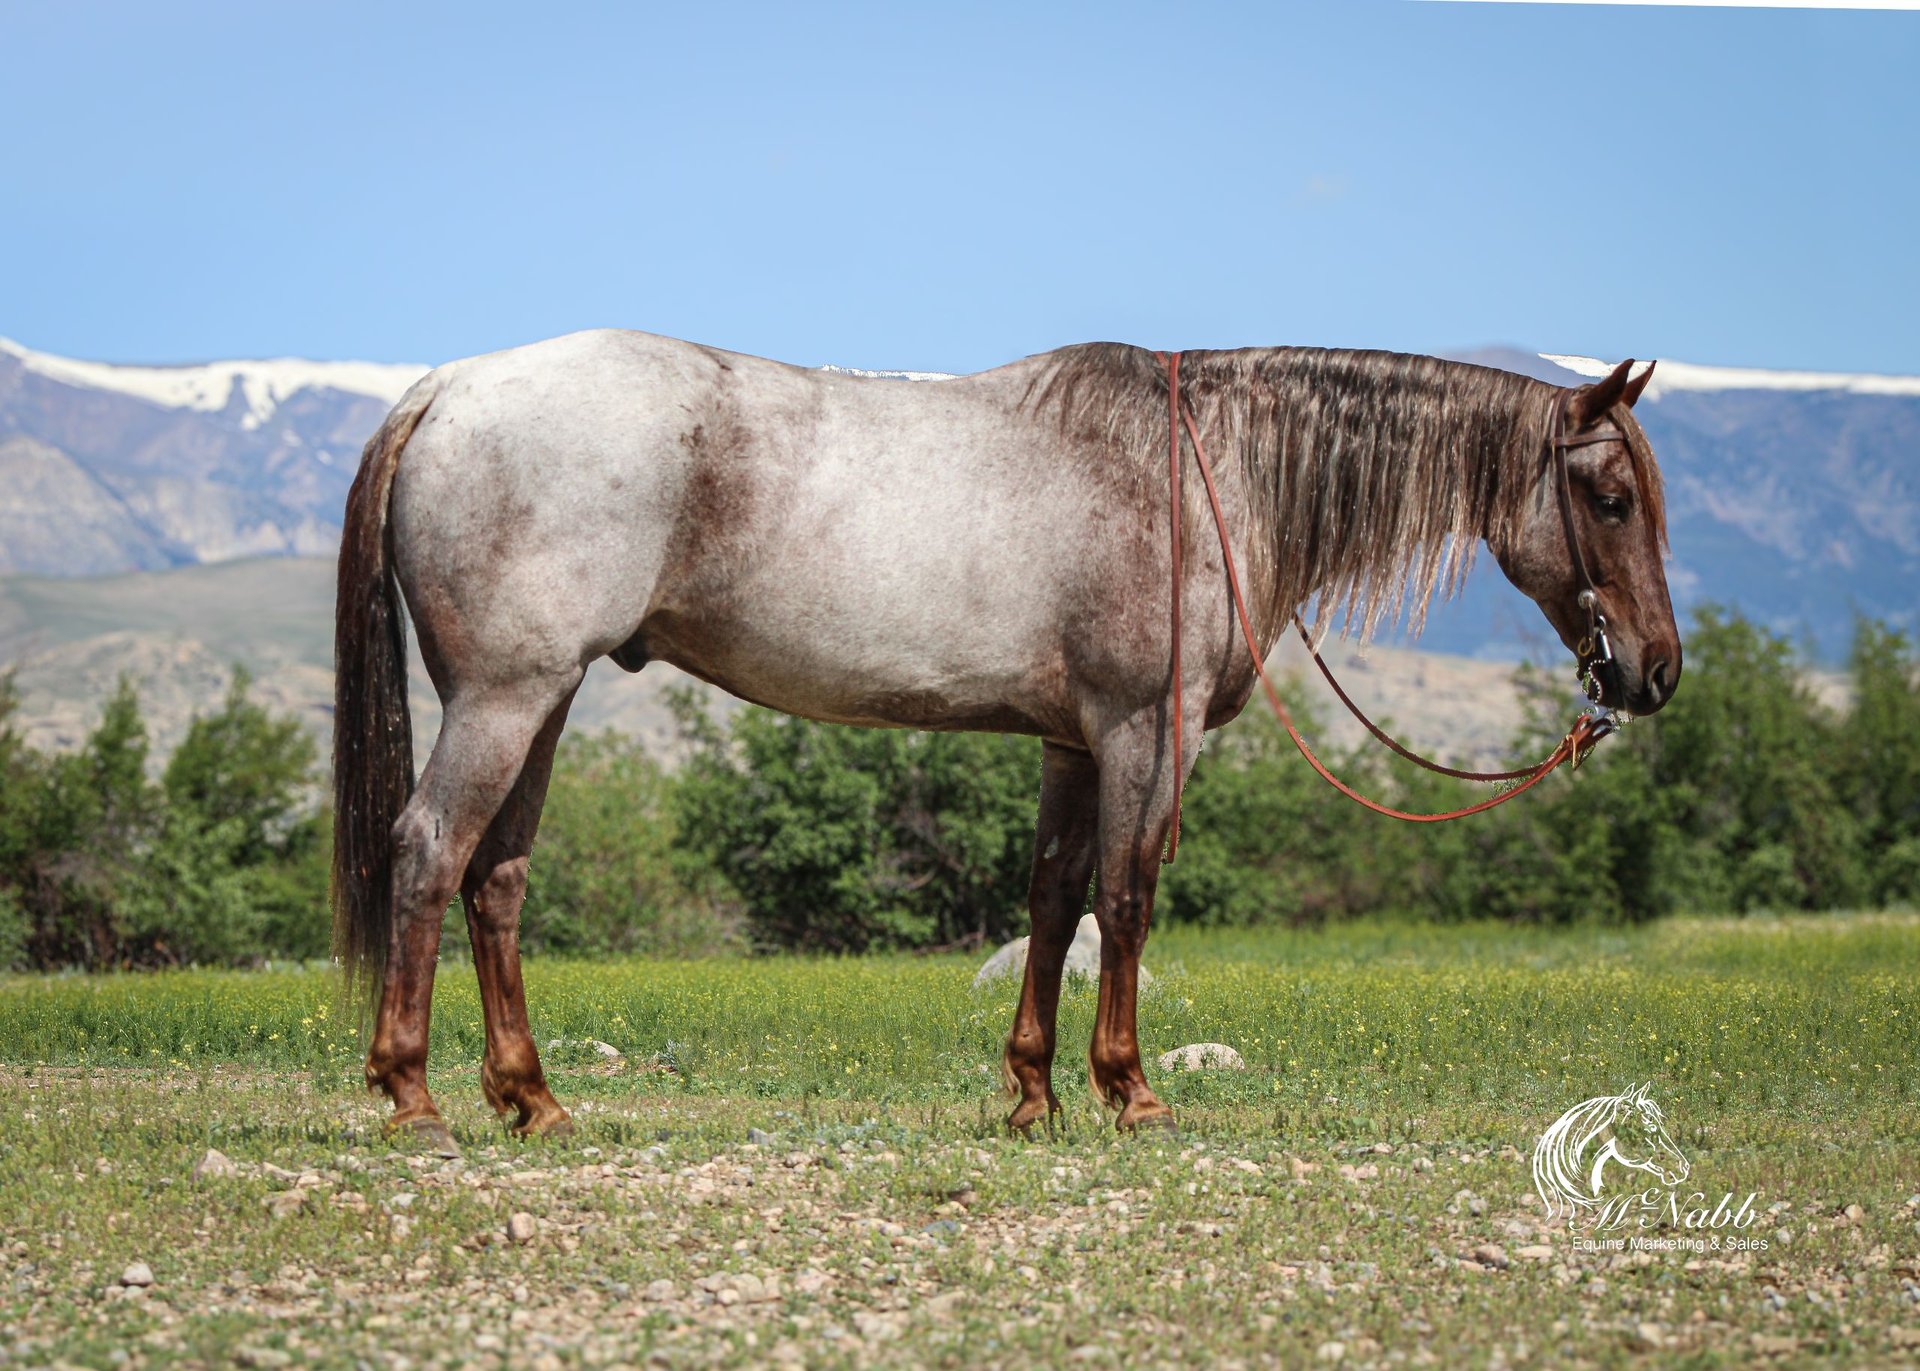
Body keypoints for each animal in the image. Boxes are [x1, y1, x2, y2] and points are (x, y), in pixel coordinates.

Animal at [331, 329, 1680, 1154]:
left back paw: (533, 1101)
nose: (1654, 672)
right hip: (505, 698)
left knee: (497, 880)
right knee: (430, 852)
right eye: (1610, 499)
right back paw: (413, 1096)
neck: (1198, 474)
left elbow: (1052, 899)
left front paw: (1032, 1093)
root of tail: (446, 389)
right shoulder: (1143, 733)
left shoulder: (1071, 746)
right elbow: (1126, 902)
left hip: (542, 701)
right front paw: (1130, 1092)